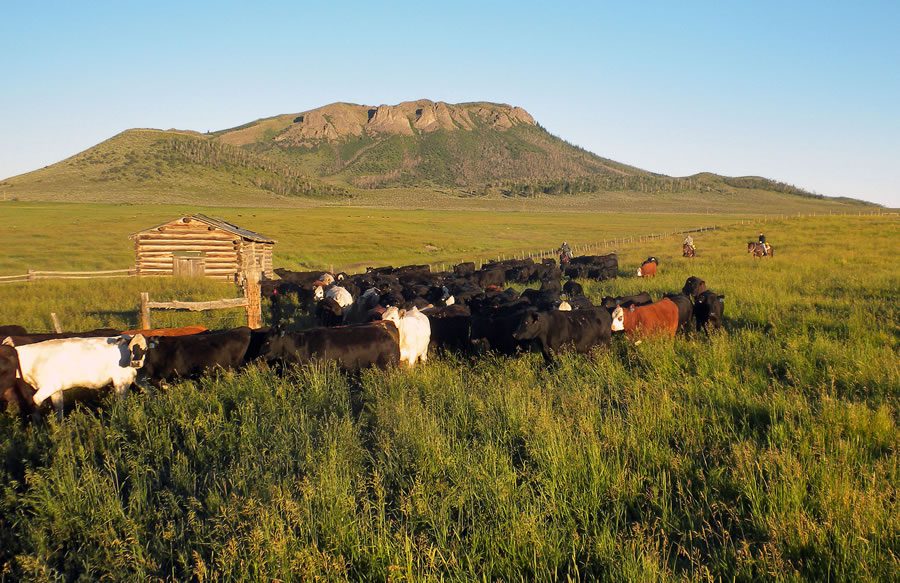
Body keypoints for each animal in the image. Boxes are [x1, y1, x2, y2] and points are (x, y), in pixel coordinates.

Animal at [7, 334, 148, 417]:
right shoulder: (56, 389)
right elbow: (58, 408)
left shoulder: (49, 386)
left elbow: (35, 401)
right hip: (138, 377)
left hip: (121, 381)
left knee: (121, 401)